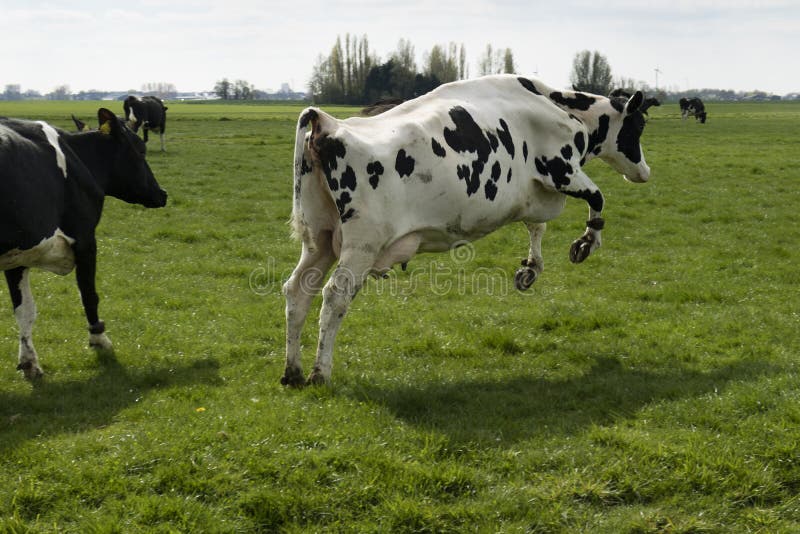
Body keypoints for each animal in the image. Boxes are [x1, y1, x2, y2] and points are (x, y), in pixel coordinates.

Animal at [0, 109, 167, 379]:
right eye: (140, 149)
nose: (162, 193)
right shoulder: (85, 239)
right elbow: (89, 293)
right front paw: (99, 339)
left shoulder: (19, 251)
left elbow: (24, 310)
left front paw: (29, 362)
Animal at [281, 74, 652, 386]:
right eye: (636, 127)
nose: (644, 172)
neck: (554, 105)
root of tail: (328, 123)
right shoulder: (561, 170)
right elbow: (597, 198)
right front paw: (587, 242)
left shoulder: (533, 193)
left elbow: (537, 226)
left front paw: (530, 268)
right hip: (362, 245)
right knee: (335, 296)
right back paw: (320, 373)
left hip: (319, 241)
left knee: (298, 290)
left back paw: (293, 372)